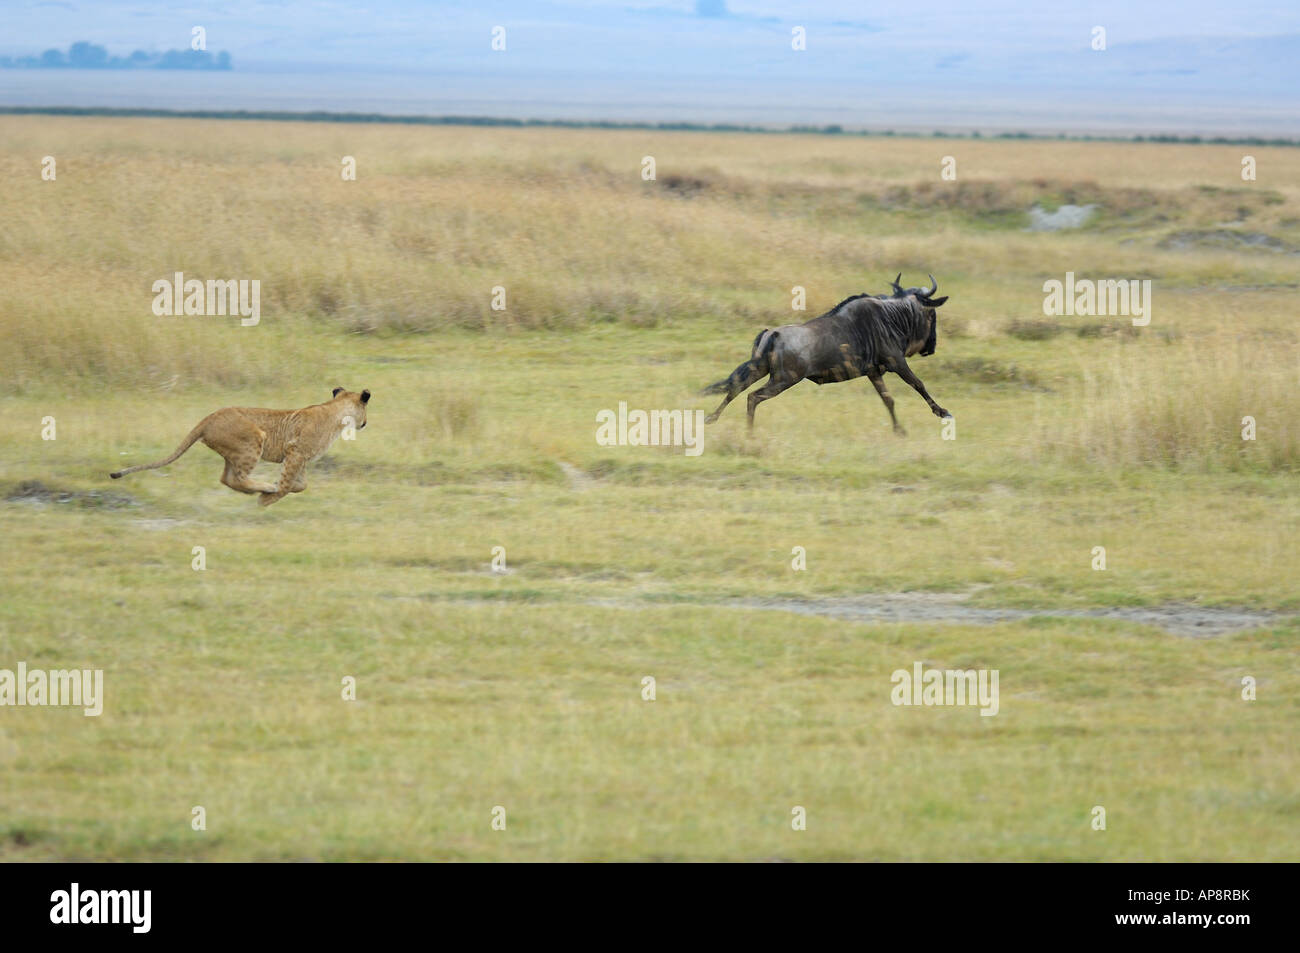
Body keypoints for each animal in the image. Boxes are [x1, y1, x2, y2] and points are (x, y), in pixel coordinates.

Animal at [109, 387, 370, 507]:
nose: (366, 423)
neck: (337, 413)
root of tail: (209, 417)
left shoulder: (301, 457)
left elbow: (301, 484)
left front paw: (277, 489)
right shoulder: (295, 452)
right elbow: (287, 484)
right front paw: (268, 498)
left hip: (234, 452)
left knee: (227, 479)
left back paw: (259, 488)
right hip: (254, 440)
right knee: (238, 478)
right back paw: (264, 488)